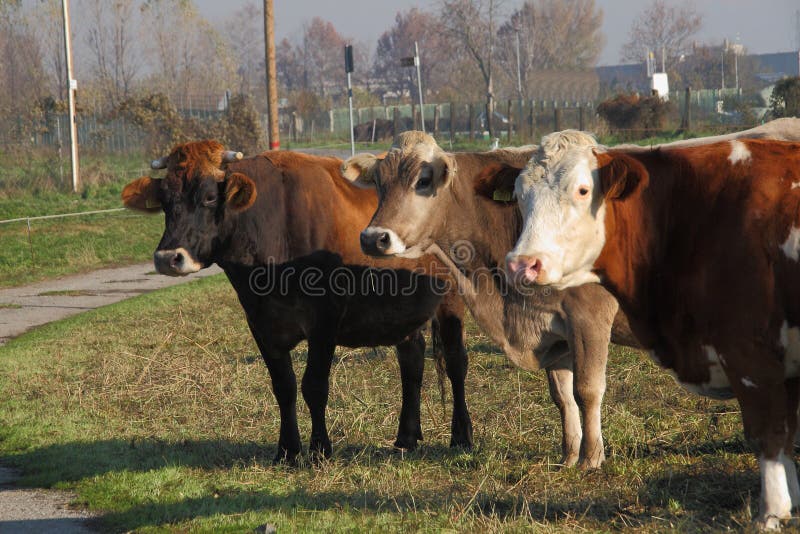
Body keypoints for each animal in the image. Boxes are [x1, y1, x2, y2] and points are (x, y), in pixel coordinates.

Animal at [121, 140, 473, 463]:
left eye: (209, 197)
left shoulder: (324, 321)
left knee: (456, 363)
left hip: (451, 301)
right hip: (403, 312)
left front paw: (320, 450)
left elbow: (313, 385)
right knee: (412, 363)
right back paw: (406, 438)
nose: (168, 257)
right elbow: (284, 386)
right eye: (165, 201)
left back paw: (462, 436)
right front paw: (288, 451)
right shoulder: (260, 324)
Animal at [342, 131, 639, 469]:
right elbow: (562, 396)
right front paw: (569, 456)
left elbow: (586, 390)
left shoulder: (589, 317)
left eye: (423, 180)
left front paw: (590, 459)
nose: (372, 238)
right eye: (379, 182)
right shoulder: (554, 327)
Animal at [506, 133, 800, 529]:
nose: (523, 264)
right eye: (520, 194)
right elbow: (787, 437)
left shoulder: (749, 354)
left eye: (582, 190)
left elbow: (768, 436)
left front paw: (771, 513)